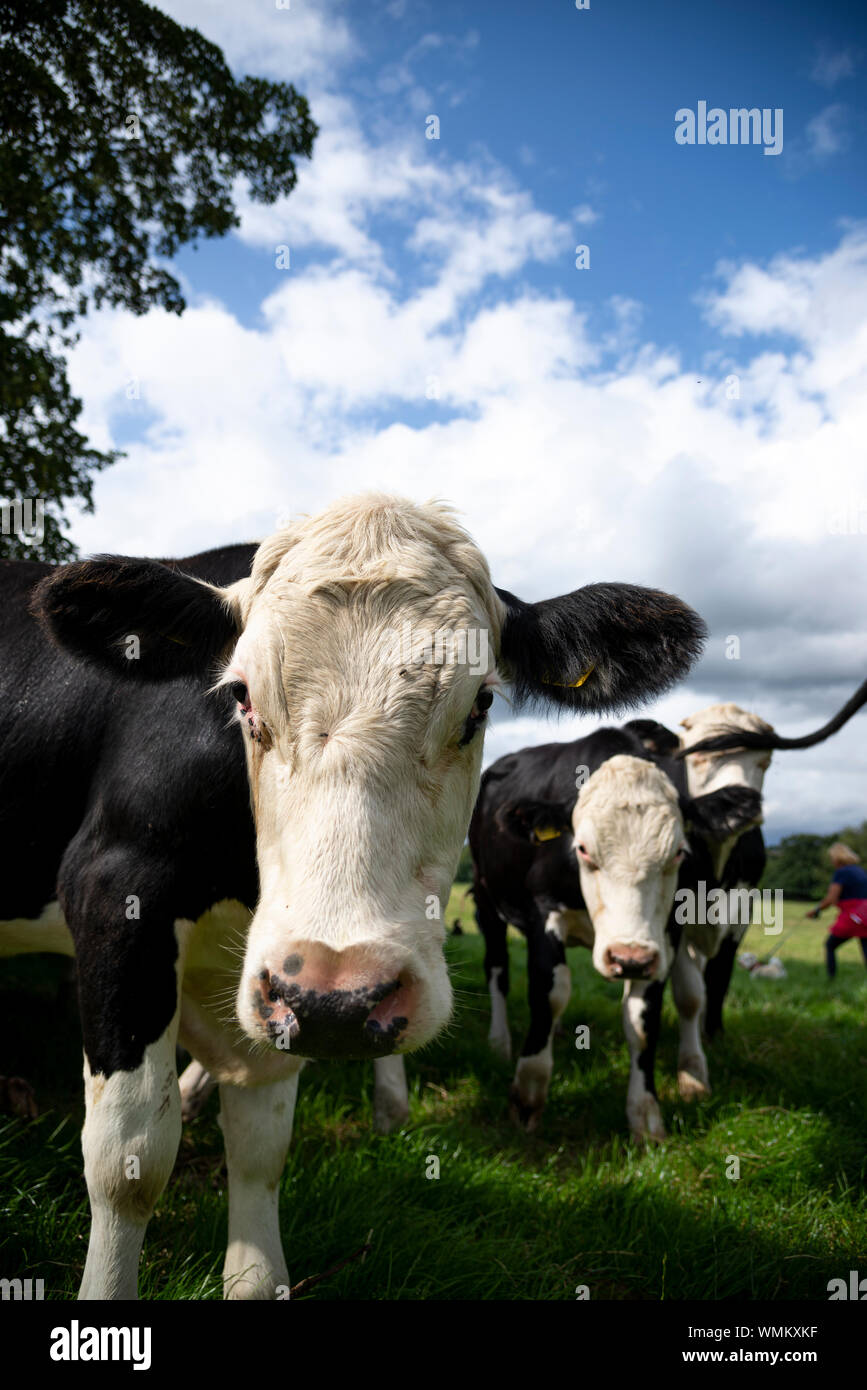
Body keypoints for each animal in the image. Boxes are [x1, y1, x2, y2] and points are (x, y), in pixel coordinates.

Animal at [0, 492, 707, 1300]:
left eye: (479, 704)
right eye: (241, 696)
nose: (339, 997)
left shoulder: (273, 998)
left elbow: (260, 1146)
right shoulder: (115, 897)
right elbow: (130, 1158)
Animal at [467, 724, 761, 1141]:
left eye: (678, 852)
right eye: (583, 849)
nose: (628, 958)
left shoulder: (662, 936)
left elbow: (642, 1019)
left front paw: (645, 1114)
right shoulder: (543, 912)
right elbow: (548, 994)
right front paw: (528, 1093)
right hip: (485, 898)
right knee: (498, 971)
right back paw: (499, 1040)